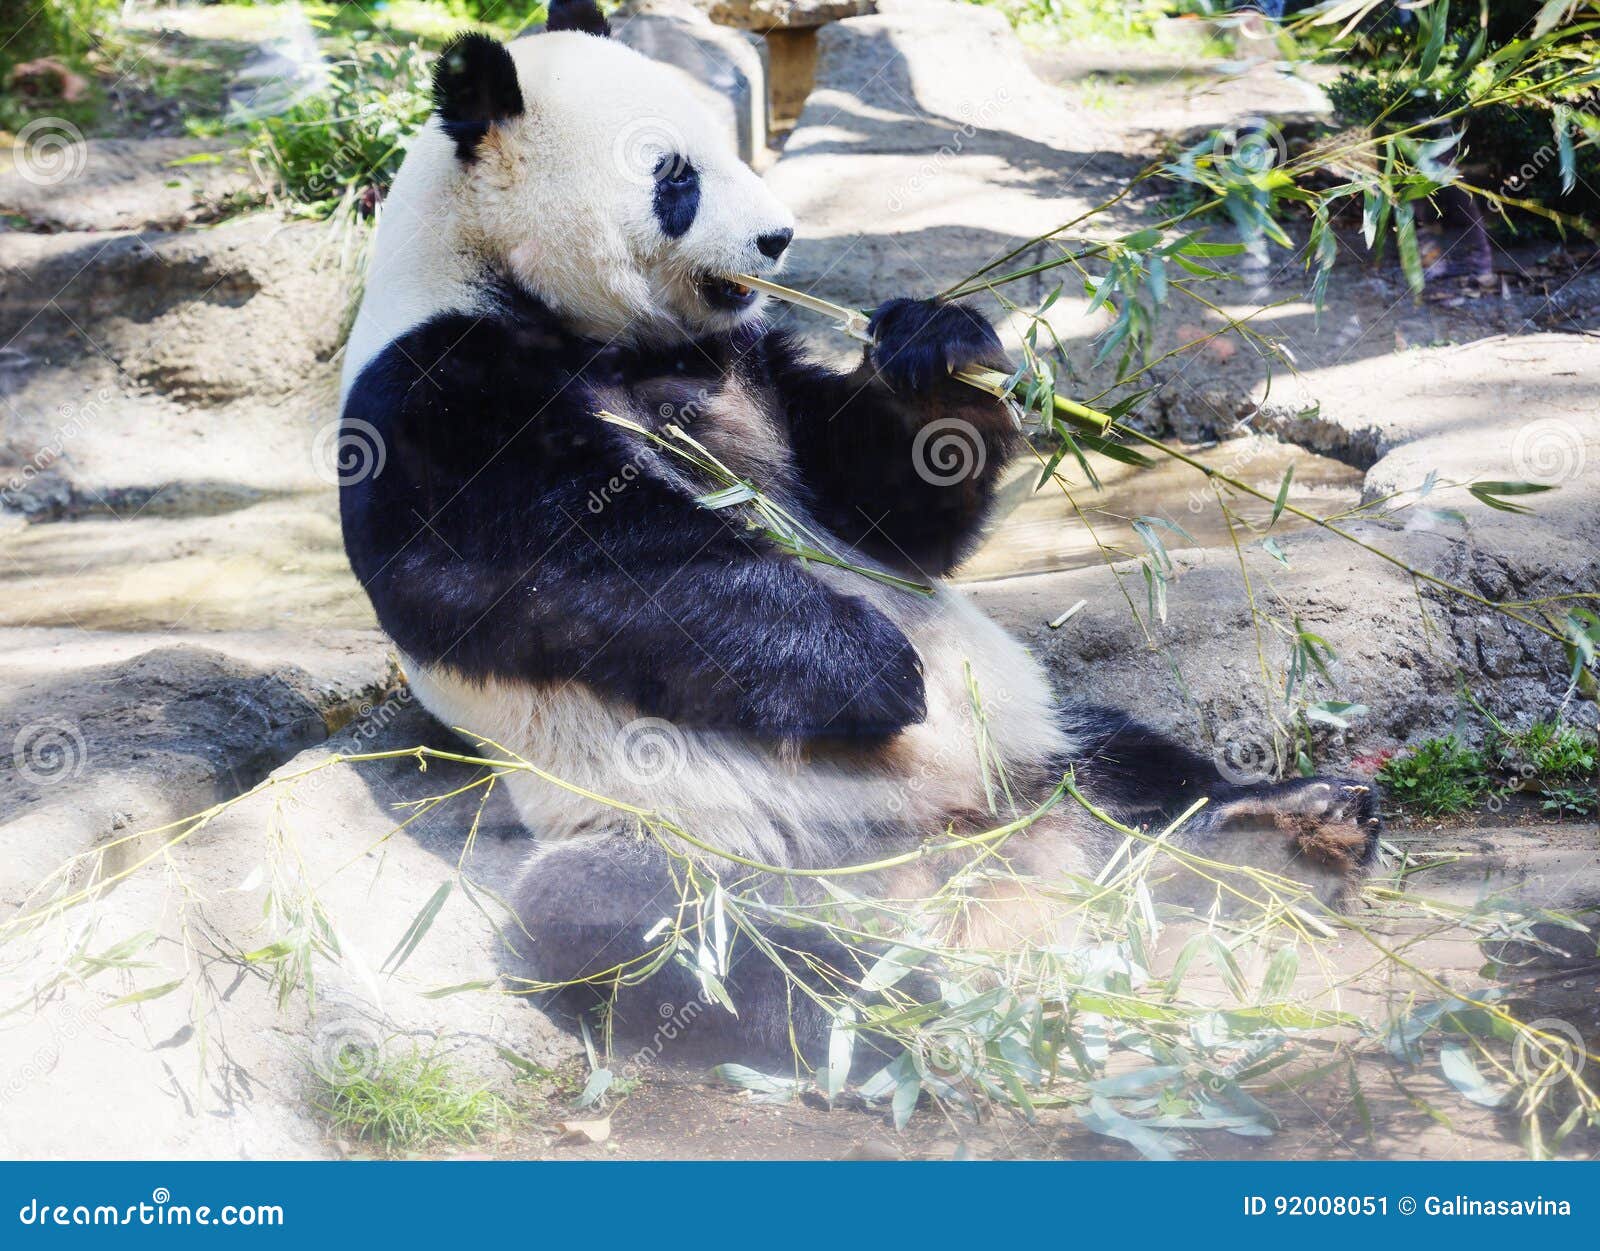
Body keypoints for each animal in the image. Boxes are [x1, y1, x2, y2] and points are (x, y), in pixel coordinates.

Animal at [338, 2, 1380, 1066]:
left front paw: (938, 353)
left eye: (735, 146)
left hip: (1031, 741)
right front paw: (867, 667)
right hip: (686, 835)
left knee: (1130, 766)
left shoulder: (744, 362)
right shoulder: (432, 388)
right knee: (669, 931)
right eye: (677, 178)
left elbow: (886, 511)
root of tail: (966, 859)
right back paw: (911, 1009)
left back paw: (1285, 824)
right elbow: (549, 567)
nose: (777, 238)